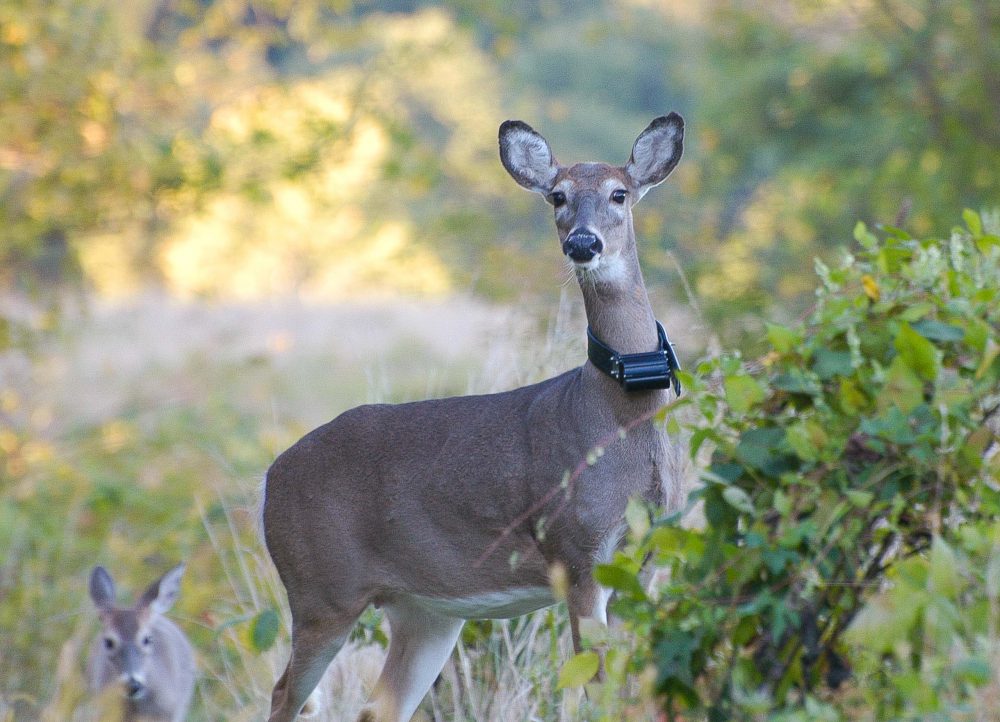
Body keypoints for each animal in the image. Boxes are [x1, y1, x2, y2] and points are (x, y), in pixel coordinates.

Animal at [262, 112, 686, 722]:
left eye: (619, 193)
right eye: (558, 195)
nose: (583, 243)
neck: (618, 416)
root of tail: (268, 480)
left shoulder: (647, 564)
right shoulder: (576, 551)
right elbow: (597, 693)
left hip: (426, 610)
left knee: (376, 707)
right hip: (321, 589)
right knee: (284, 694)